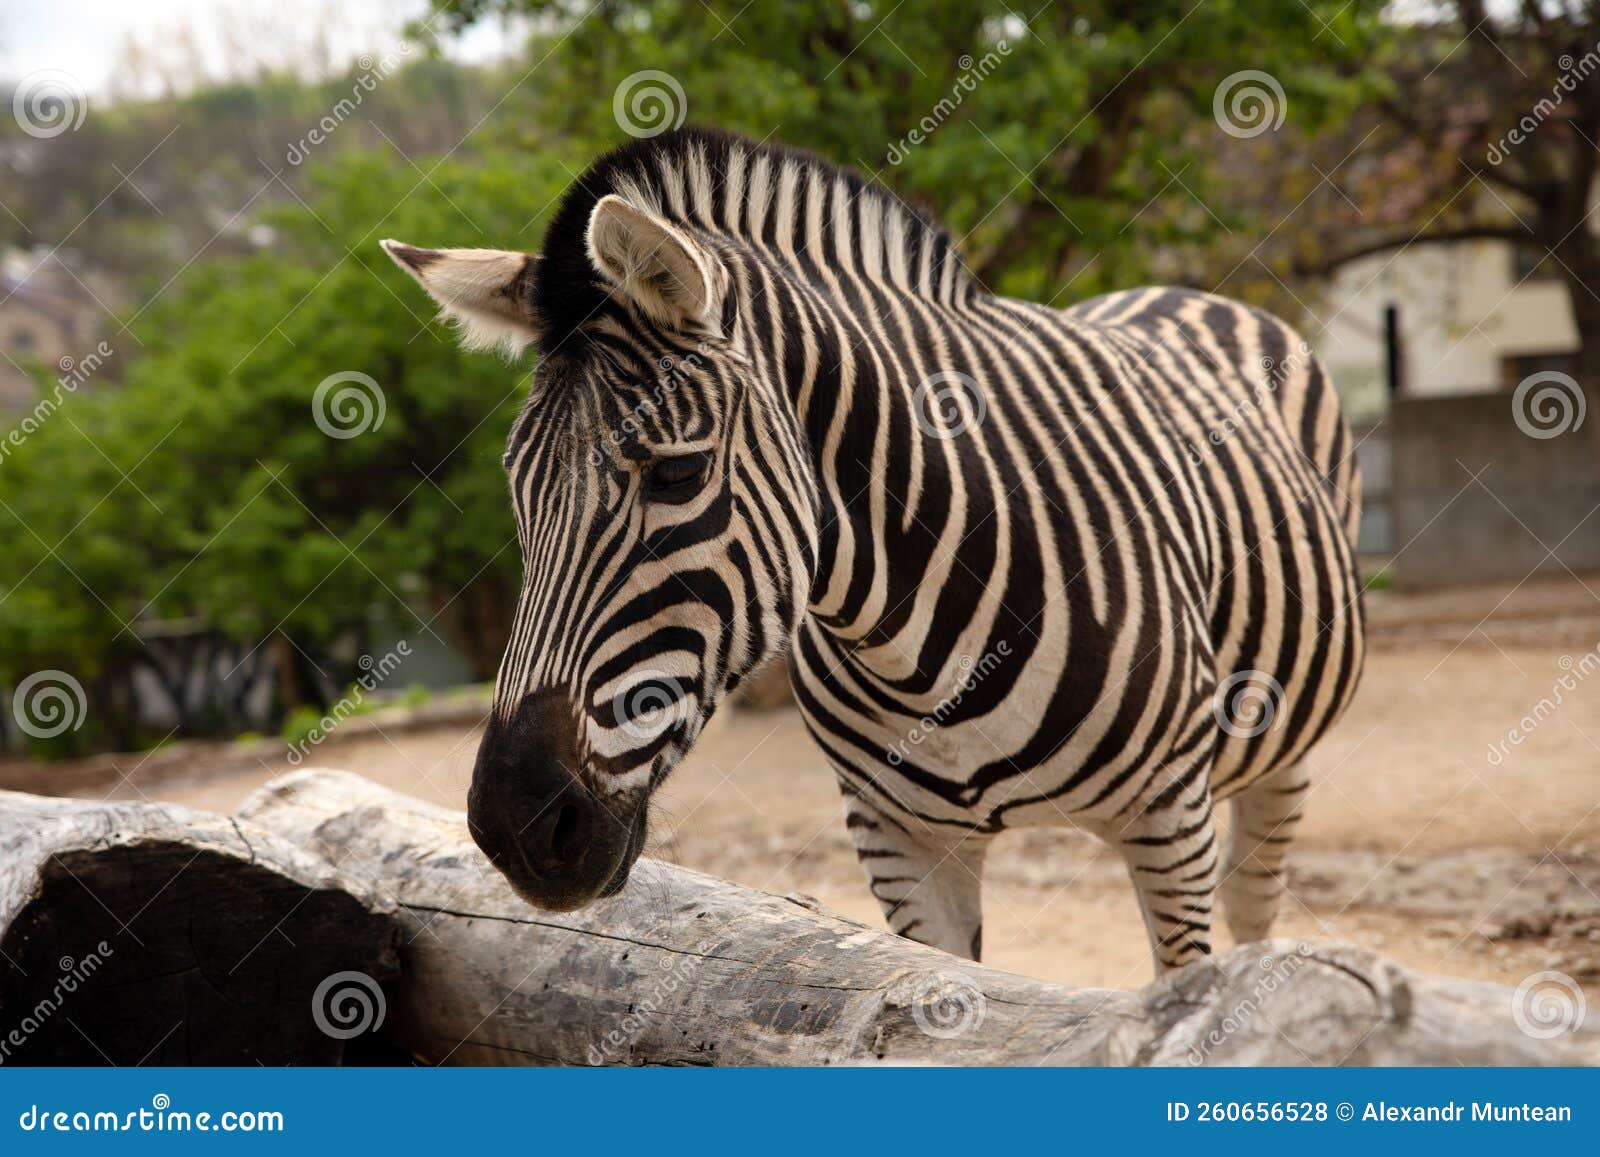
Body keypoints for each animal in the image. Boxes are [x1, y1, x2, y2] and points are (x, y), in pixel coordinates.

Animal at [382, 126, 1364, 974]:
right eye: (519, 490)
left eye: (676, 474)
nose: (513, 824)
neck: (921, 644)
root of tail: (1184, 293)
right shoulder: (900, 841)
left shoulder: (1171, 823)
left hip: (1280, 751)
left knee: (1253, 899)